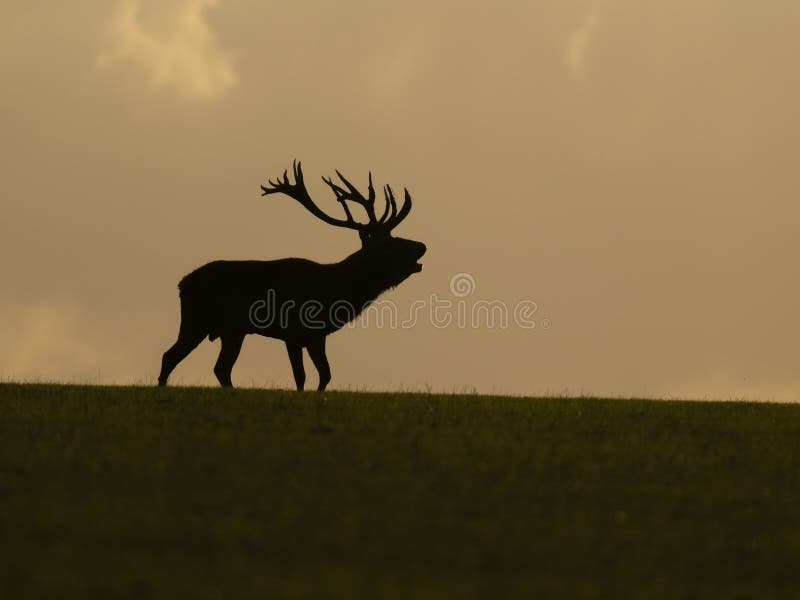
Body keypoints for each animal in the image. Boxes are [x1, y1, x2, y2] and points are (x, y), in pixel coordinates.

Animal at [157, 161, 427, 391]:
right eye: (389, 245)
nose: (422, 245)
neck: (334, 292)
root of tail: (181, 284)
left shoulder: (317, 336)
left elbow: (326, 374)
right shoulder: (293, 332)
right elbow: (301, 375)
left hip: (231, 330)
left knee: (220, 368)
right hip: (197, 320)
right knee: (170, 356)